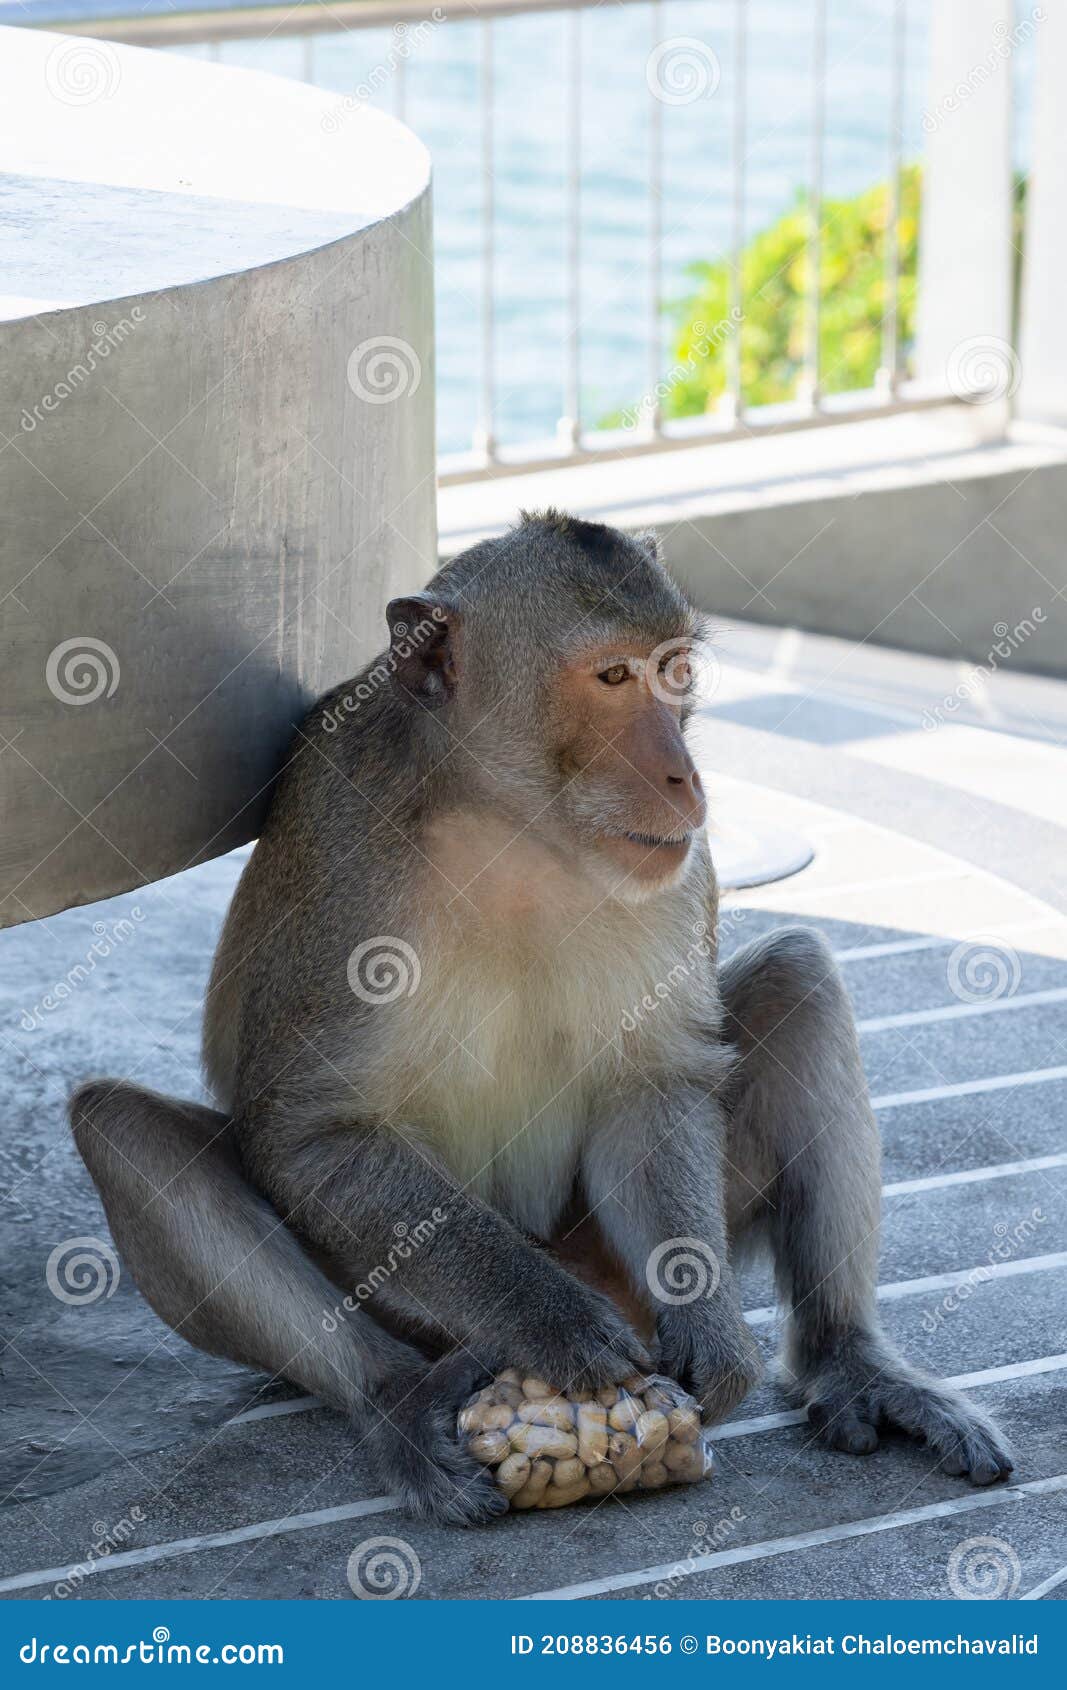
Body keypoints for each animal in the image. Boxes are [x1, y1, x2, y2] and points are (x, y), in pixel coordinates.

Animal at [70, 511, 1012, 1526]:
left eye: (674, 670)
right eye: (612, 678)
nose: (683, 777)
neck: (512, 829)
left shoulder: (678, 869)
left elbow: (651, 1079)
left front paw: (712, 1336)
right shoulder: (346, 864)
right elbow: (312, 1132)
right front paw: (548, 1319)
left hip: (611, 1252)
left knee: (799, 981)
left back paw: (851, 1364)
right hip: (415, 1309)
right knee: (122, 1128)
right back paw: (398, 1400)